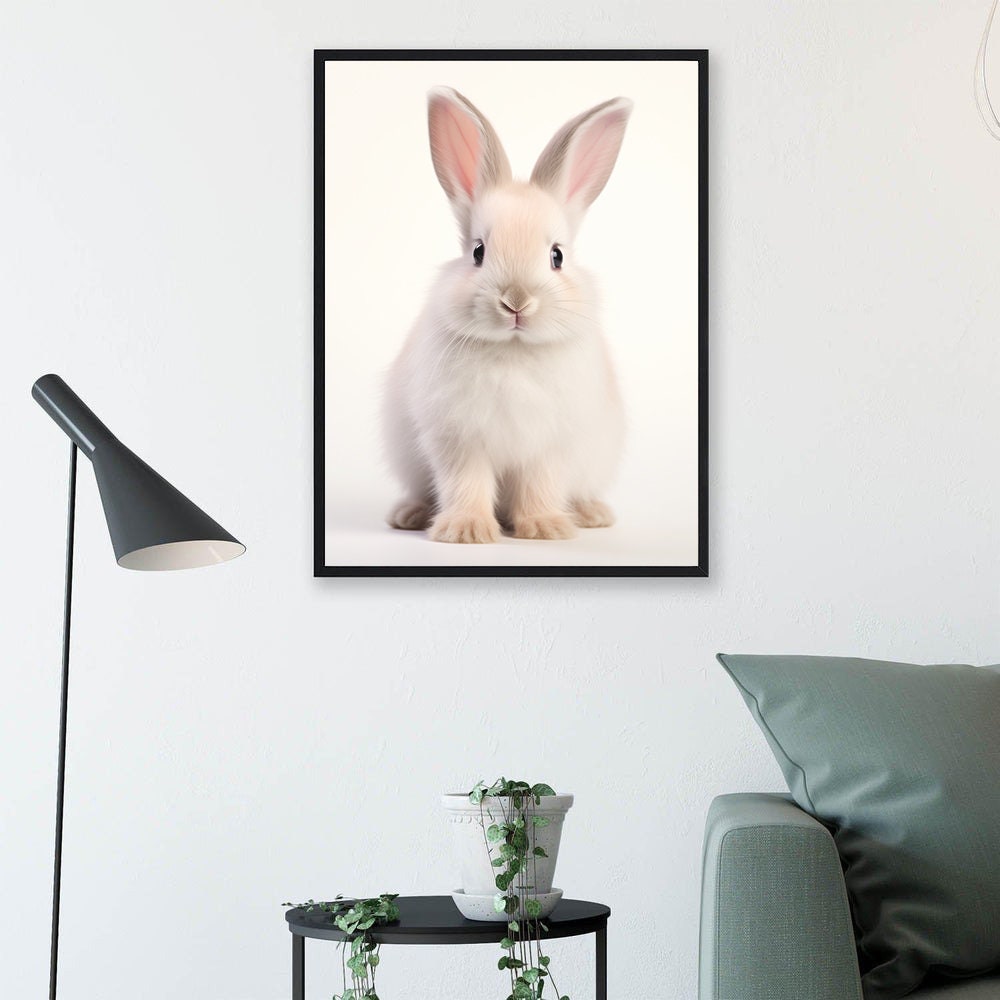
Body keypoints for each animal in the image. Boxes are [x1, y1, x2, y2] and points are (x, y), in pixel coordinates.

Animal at [383, 87, 632, 544]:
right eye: (479, 252)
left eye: (557, 256)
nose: (516, 301)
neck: (514, 350)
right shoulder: (459, 441)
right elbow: (466, 483)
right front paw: (466, 531)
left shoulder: (550, 446)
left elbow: (540, 484)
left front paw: (545, 527)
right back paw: (410, 514)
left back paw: (591, 514)